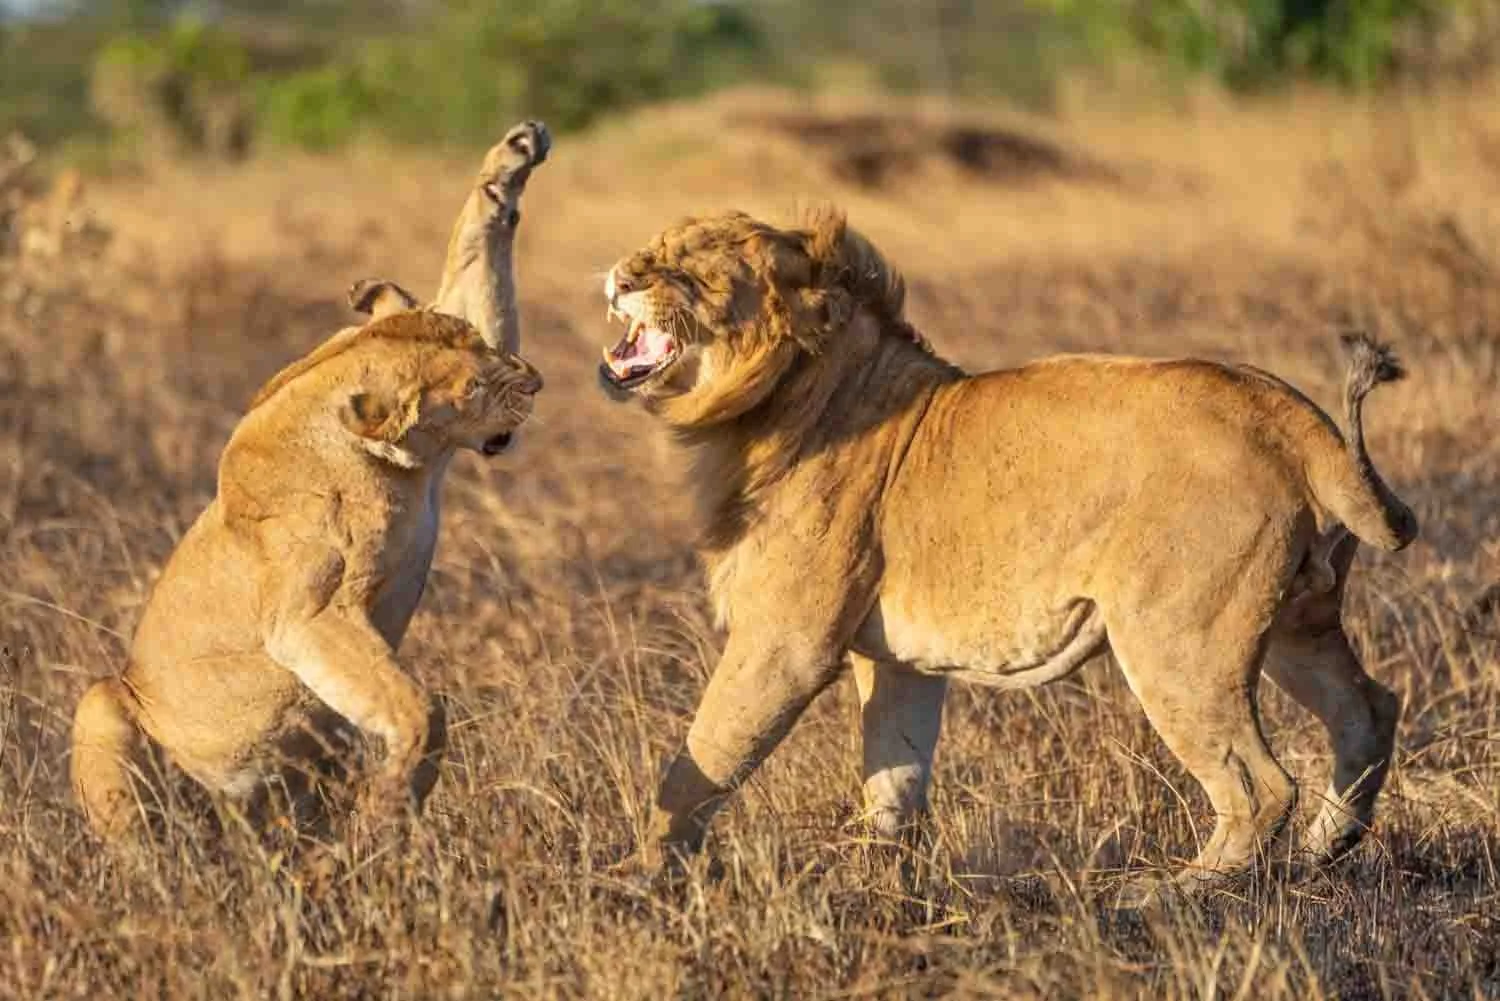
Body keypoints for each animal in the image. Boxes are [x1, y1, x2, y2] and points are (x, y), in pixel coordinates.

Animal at [69, 121, 550, 843]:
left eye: (479, 344)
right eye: (472, 388)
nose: (535, 381)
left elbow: (475, 264)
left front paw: (510, 161)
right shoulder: (309, 616)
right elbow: (420, 709)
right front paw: (387, 810)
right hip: (102, 700)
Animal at [596, 207, 1418, 903]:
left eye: (692, 267)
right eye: (652, 249)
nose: (620, 277)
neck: (771, 404)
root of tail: (1285, 409)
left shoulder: (785, 644)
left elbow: (701, 759)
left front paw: (637, 875)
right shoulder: (899, 663)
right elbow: (894, 779)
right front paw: (879, 889)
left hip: (1176, 639)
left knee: (1261, 783)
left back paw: (1175, 892)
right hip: (1295, 619)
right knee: (1369, 708)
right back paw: (1322, 851)